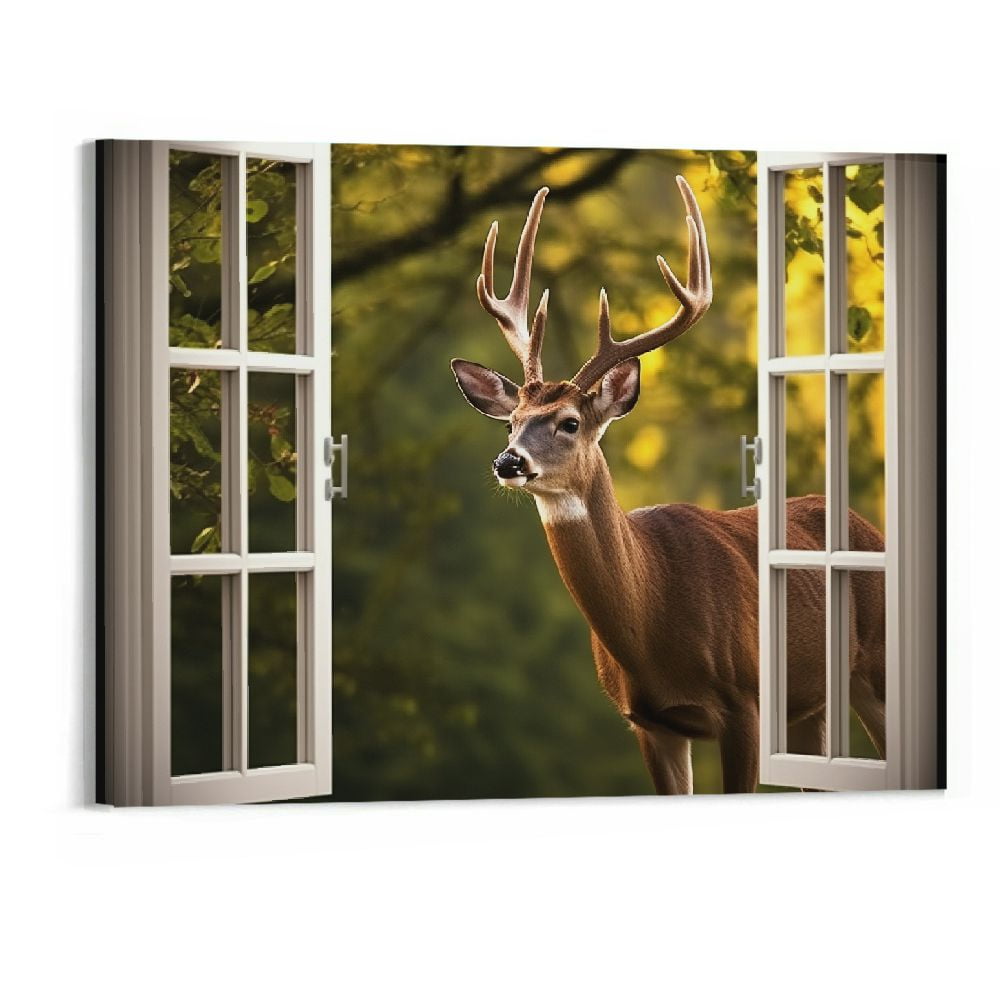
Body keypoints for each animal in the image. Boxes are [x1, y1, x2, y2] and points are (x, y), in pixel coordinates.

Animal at [451, 177, 887, 794]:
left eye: (570, 422)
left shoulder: (745, 703)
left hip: (874, 667)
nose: (508, 461)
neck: (652, 620)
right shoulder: (649, 721)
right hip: (811, 705)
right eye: (510, 421)